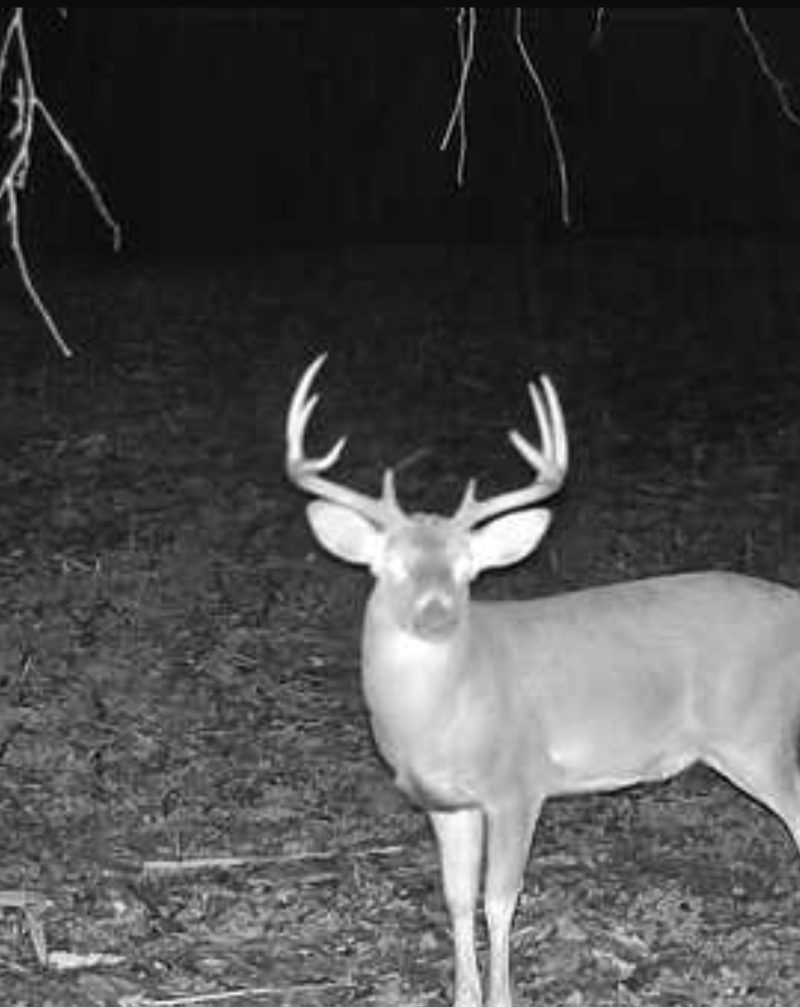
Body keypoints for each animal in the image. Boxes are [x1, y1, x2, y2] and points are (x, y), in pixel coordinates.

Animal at [285, 353, 800, 1007]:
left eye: (466, 569)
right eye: (392, 565)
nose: (436, 613)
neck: (441, 714)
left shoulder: (519, 783)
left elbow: (500, 901)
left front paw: (501, 996)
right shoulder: (445, 802)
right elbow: (456, 899)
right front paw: (463, 994)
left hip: (755, 734)